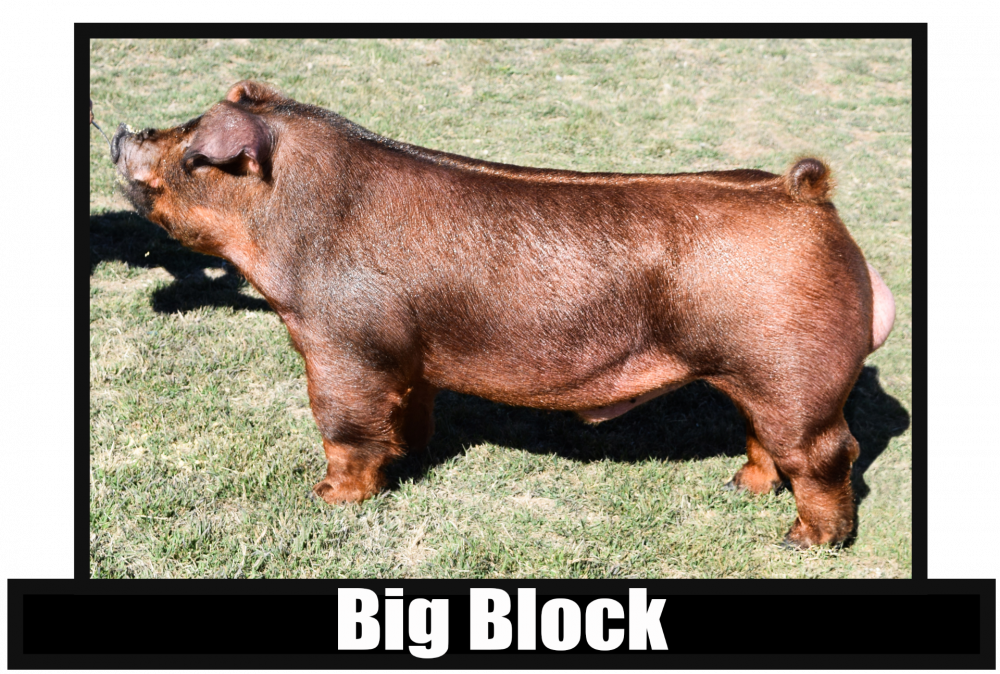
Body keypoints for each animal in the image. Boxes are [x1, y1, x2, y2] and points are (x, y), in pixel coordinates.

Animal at [109, 80, 896, 549]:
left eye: (190, 146)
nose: (120, 131)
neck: (292, 223)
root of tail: (805, 193)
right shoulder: (406, 356)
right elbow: (409, 411)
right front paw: (410, 456)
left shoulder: (341, 344)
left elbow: (345, 427)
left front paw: (330, 499)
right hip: (757, 375)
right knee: (765, 438)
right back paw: (739, 486)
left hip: (796, 372)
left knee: (832, 453)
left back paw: (805, 542)